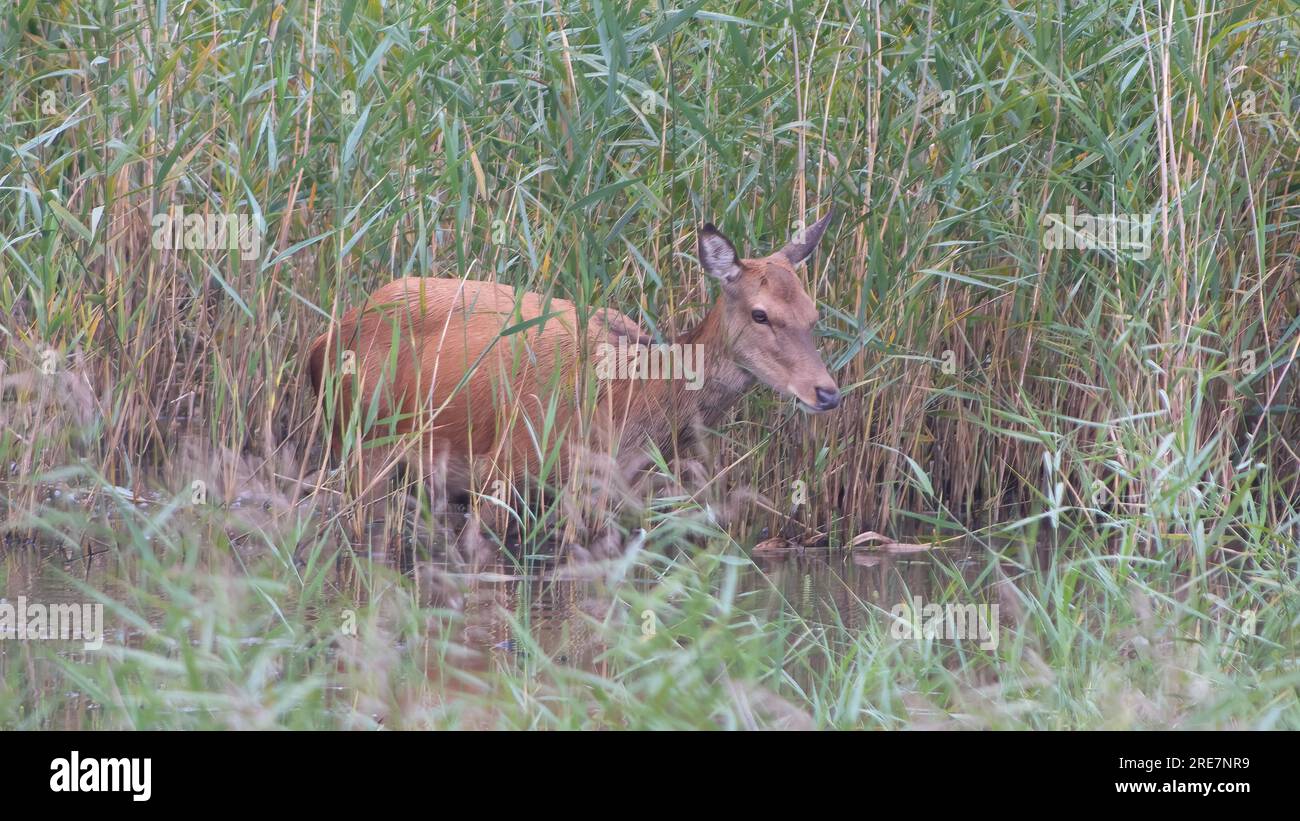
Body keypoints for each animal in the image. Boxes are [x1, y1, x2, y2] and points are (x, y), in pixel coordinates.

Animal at [306, 210, 840, 508]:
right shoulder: (505, 466)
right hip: (362, 440)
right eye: (760, 314)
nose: (828, 392)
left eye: (814, 313)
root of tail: (321, 341)